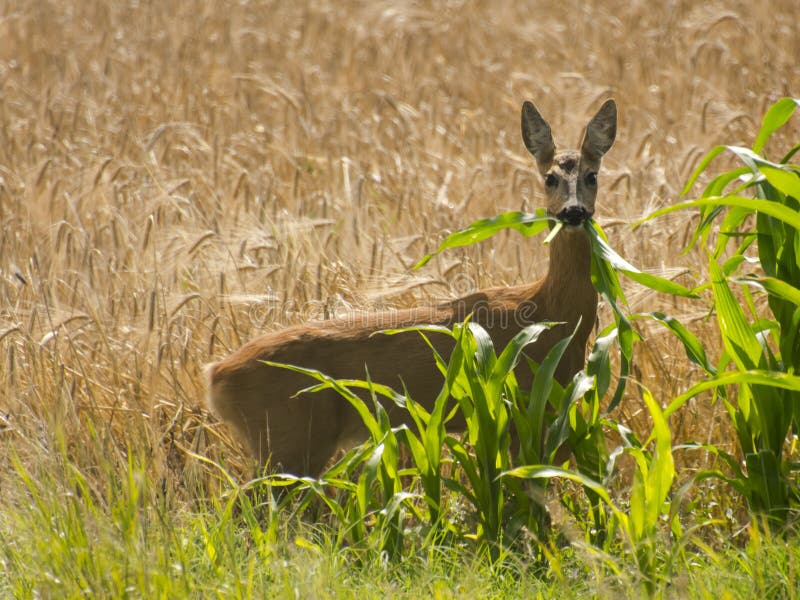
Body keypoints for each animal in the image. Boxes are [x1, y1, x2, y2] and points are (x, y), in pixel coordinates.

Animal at [205, 99, 617, 477]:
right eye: (550, 178)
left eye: (592, 176)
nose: (574, 211)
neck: (551, 314)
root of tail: (217, 374)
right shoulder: (523, 409)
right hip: (289, 442)